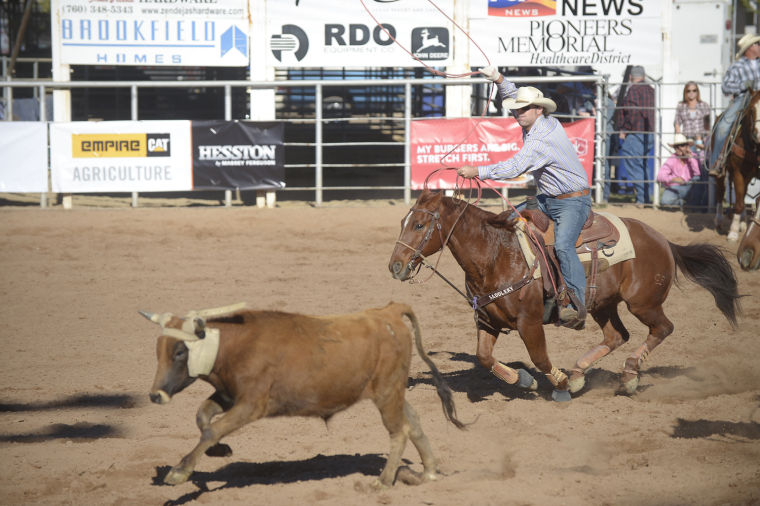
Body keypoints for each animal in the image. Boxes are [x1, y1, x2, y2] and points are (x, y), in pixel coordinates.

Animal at [140, 301, 464, 488]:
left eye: (179, 351)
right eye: (158, 351)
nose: (156, 395)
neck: (234, 345)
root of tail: (388, 312)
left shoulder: (252, 404)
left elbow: (211, 429)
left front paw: (180, 471)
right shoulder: (228, 395)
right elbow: (203, 417)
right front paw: (220, 450)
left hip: (386, 392)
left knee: (399, 431)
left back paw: (383, 482)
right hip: (392, 390)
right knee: (414, 423)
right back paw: (429, 472)